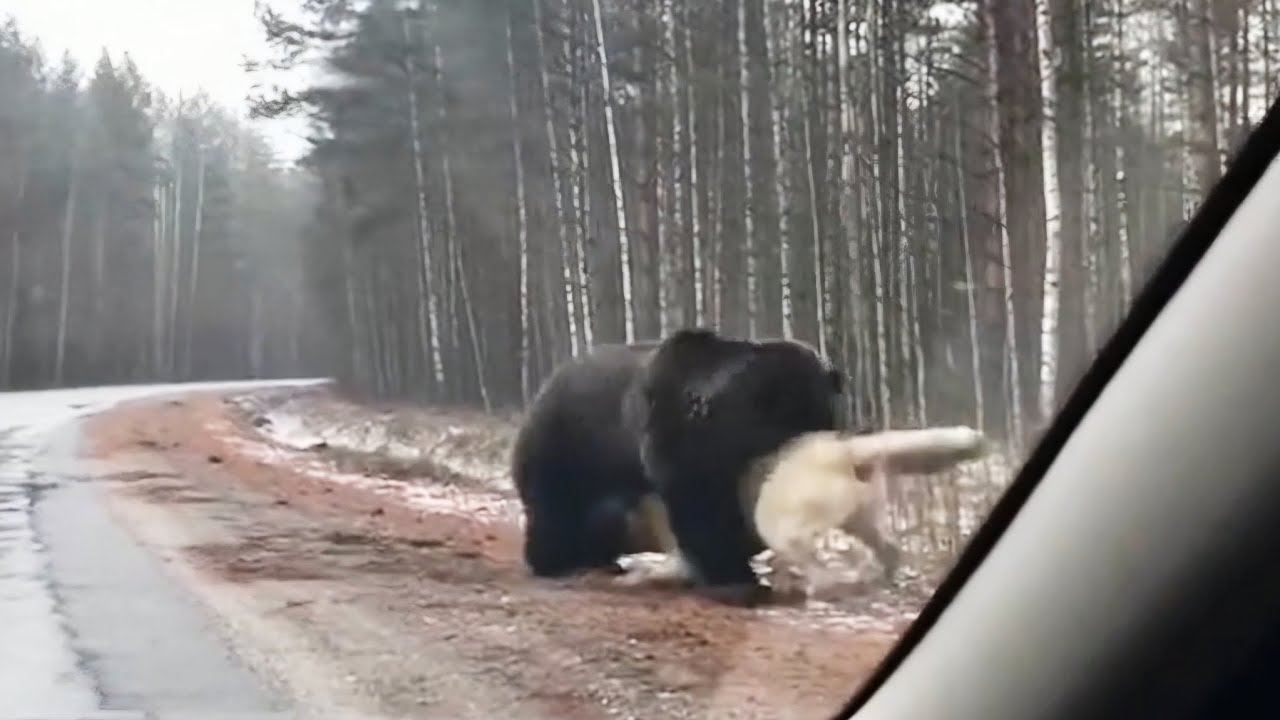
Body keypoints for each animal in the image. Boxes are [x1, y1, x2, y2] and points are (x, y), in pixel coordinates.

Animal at [615, 425, 991, 601]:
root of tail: (843, 448)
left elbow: (665, 563)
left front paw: (635, 568)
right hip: (859, 517)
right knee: (887, 549)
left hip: (782, 522)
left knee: (826, 564)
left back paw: (819, 585)